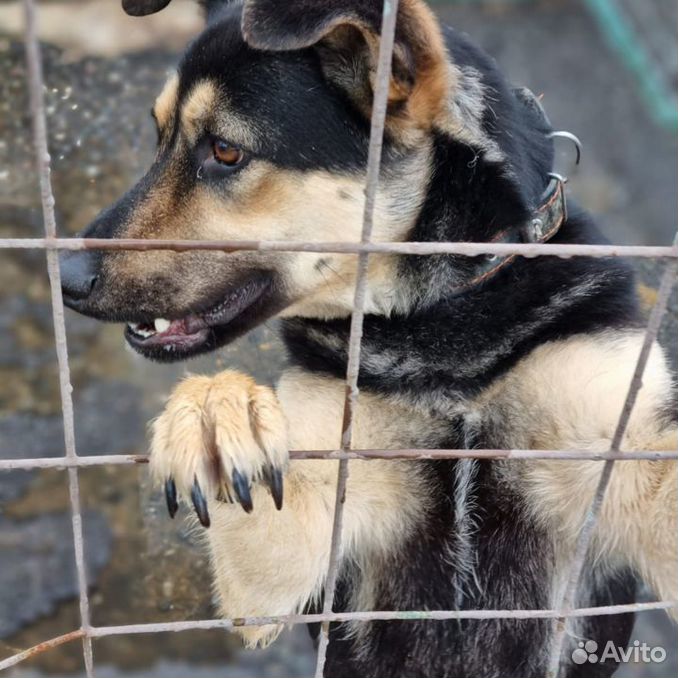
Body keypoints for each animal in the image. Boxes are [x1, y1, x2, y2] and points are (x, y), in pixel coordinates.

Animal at [61, 2, 676, 676]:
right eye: (159, 139)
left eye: (224, 150)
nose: (65, 278)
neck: (440, 326)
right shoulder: (291, 554)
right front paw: (216, 411)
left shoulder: (617, 455)